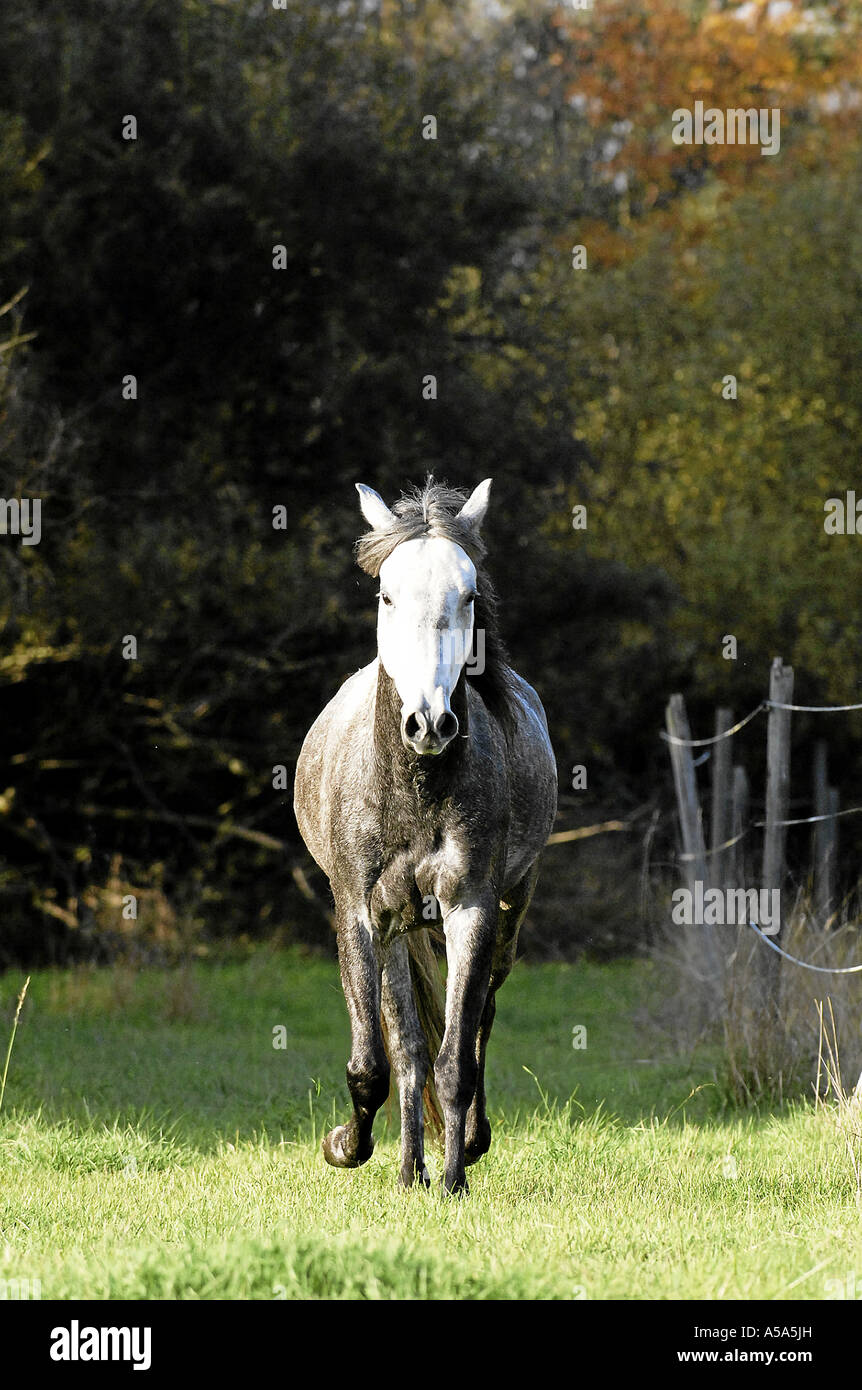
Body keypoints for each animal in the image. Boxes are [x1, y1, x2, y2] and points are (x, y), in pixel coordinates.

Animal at [293, 479, 557, 1194]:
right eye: (387, 595)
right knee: (407, 1047)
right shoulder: (361, 916)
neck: (415, 789)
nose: (430, 723)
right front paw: (345, 1148)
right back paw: (409, 1169)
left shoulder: (471, 910)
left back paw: (457, 1149)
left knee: (477, 1023)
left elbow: (457, 1058)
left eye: (468, 595)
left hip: (509, 911)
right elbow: (376, 1064)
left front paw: (455, 1180)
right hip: (399, 929)